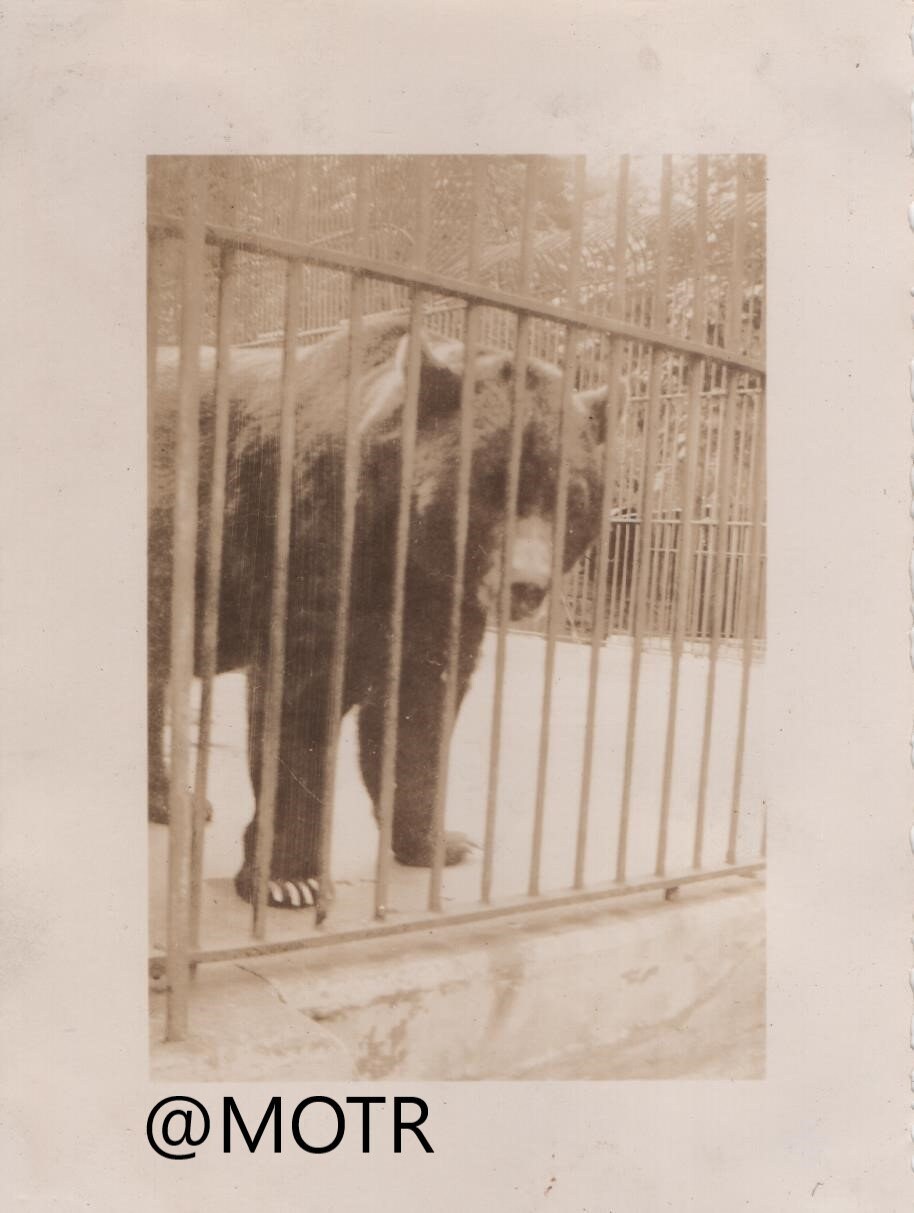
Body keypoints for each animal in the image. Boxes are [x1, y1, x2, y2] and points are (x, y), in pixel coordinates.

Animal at [149, 313, 612, 909]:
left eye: (570, 500)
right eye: (489, 488)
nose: (525, 584)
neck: (398, 549)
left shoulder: (439, 602)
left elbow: (419, 712)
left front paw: (441, 842)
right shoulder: (310, 546)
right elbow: (298, 705)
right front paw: (289, 879)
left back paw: (172, 800)